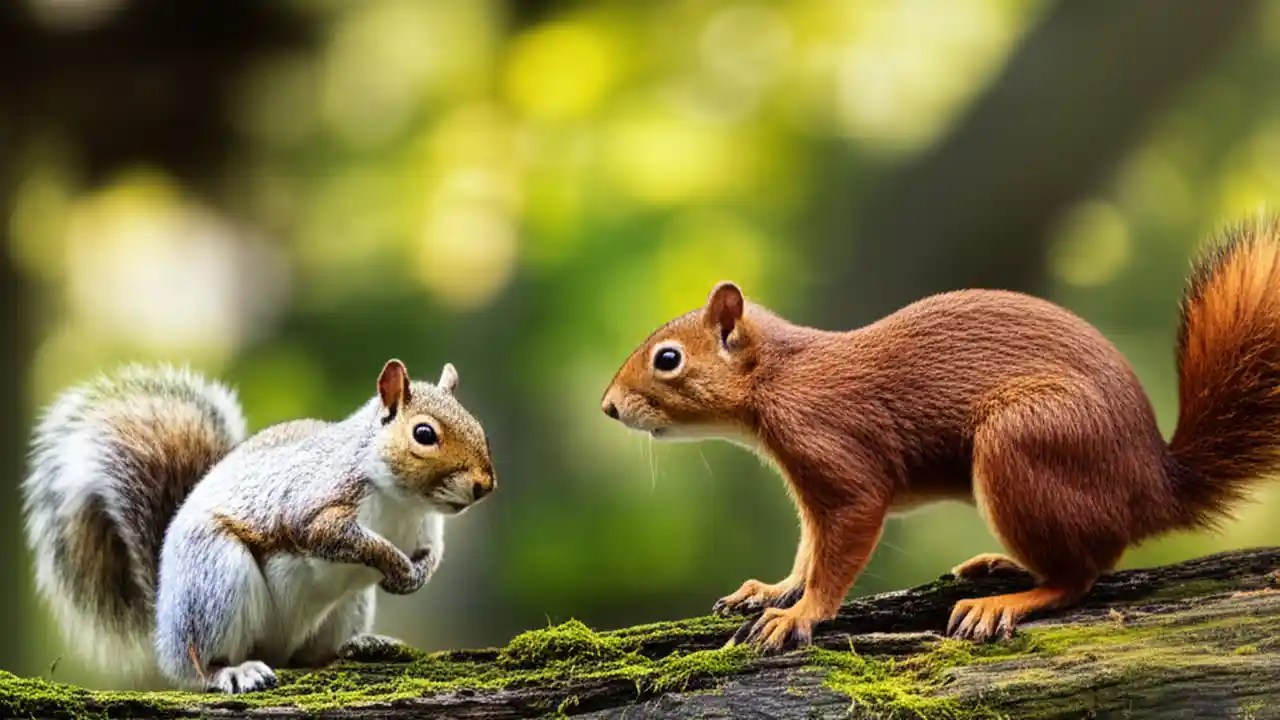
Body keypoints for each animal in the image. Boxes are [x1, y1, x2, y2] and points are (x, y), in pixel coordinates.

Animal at [22, 358, 495, 693]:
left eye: (479, 427)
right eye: (424, 434)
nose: (484, 485)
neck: (403, 504)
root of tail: (165, 614)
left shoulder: (427, 530)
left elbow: (432, 557)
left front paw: (415, 575)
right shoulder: (315, 504)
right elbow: (333, 537)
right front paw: (393, 564)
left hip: (348, 605)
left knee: (311, 657)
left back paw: (364, 646)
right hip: (214, 579)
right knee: (199, 665)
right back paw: (232, 673)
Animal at [601, 217, 1280, 652]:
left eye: (668, 359)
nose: (607, 408)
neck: (780, 375)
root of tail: (1155, 486)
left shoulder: (835, 453)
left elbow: (839, 547)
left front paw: (799, 615)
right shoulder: (809, 491)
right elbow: (807, 551)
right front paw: (770, 590)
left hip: (1022, 441)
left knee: (1080, 576)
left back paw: (1001, 602)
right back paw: (1000, 566)